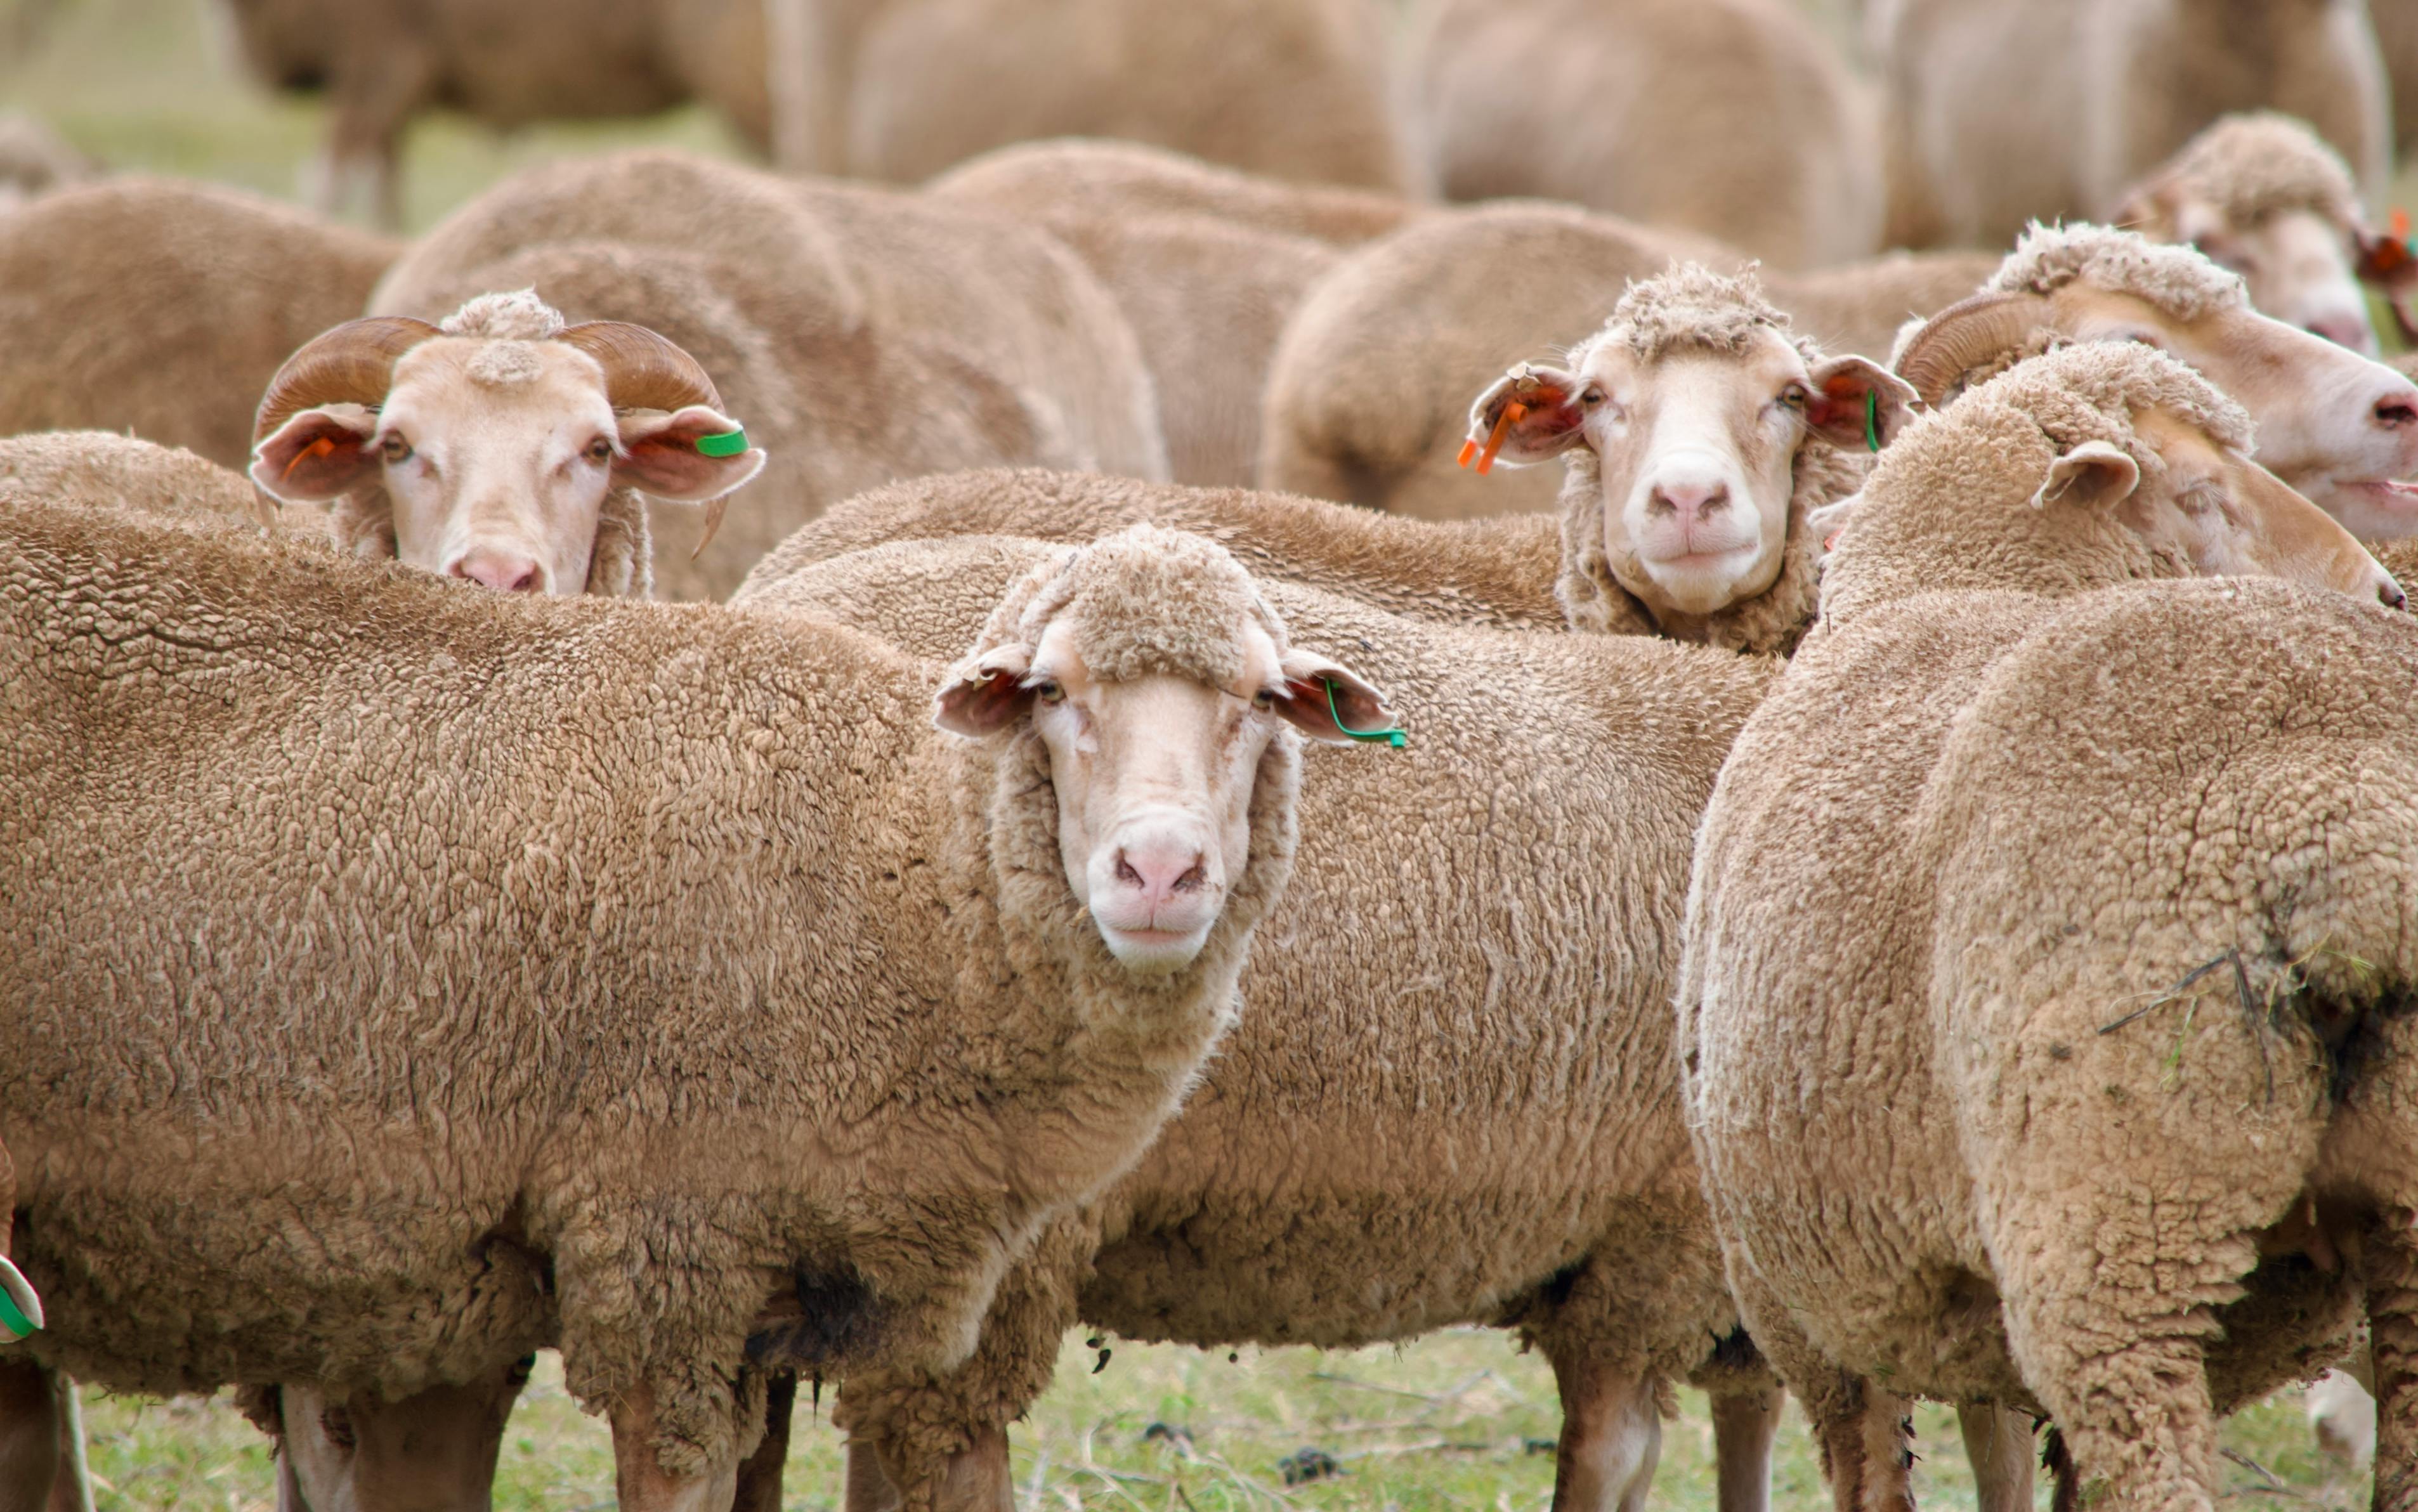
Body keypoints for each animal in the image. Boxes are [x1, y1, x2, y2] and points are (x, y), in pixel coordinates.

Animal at [1678, 341, 2405, 1512]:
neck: (1955, 585)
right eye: (2198, 492)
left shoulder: (1808, 1302)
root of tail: (2337, 841)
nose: (2389, 592)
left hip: (2116, 1220)